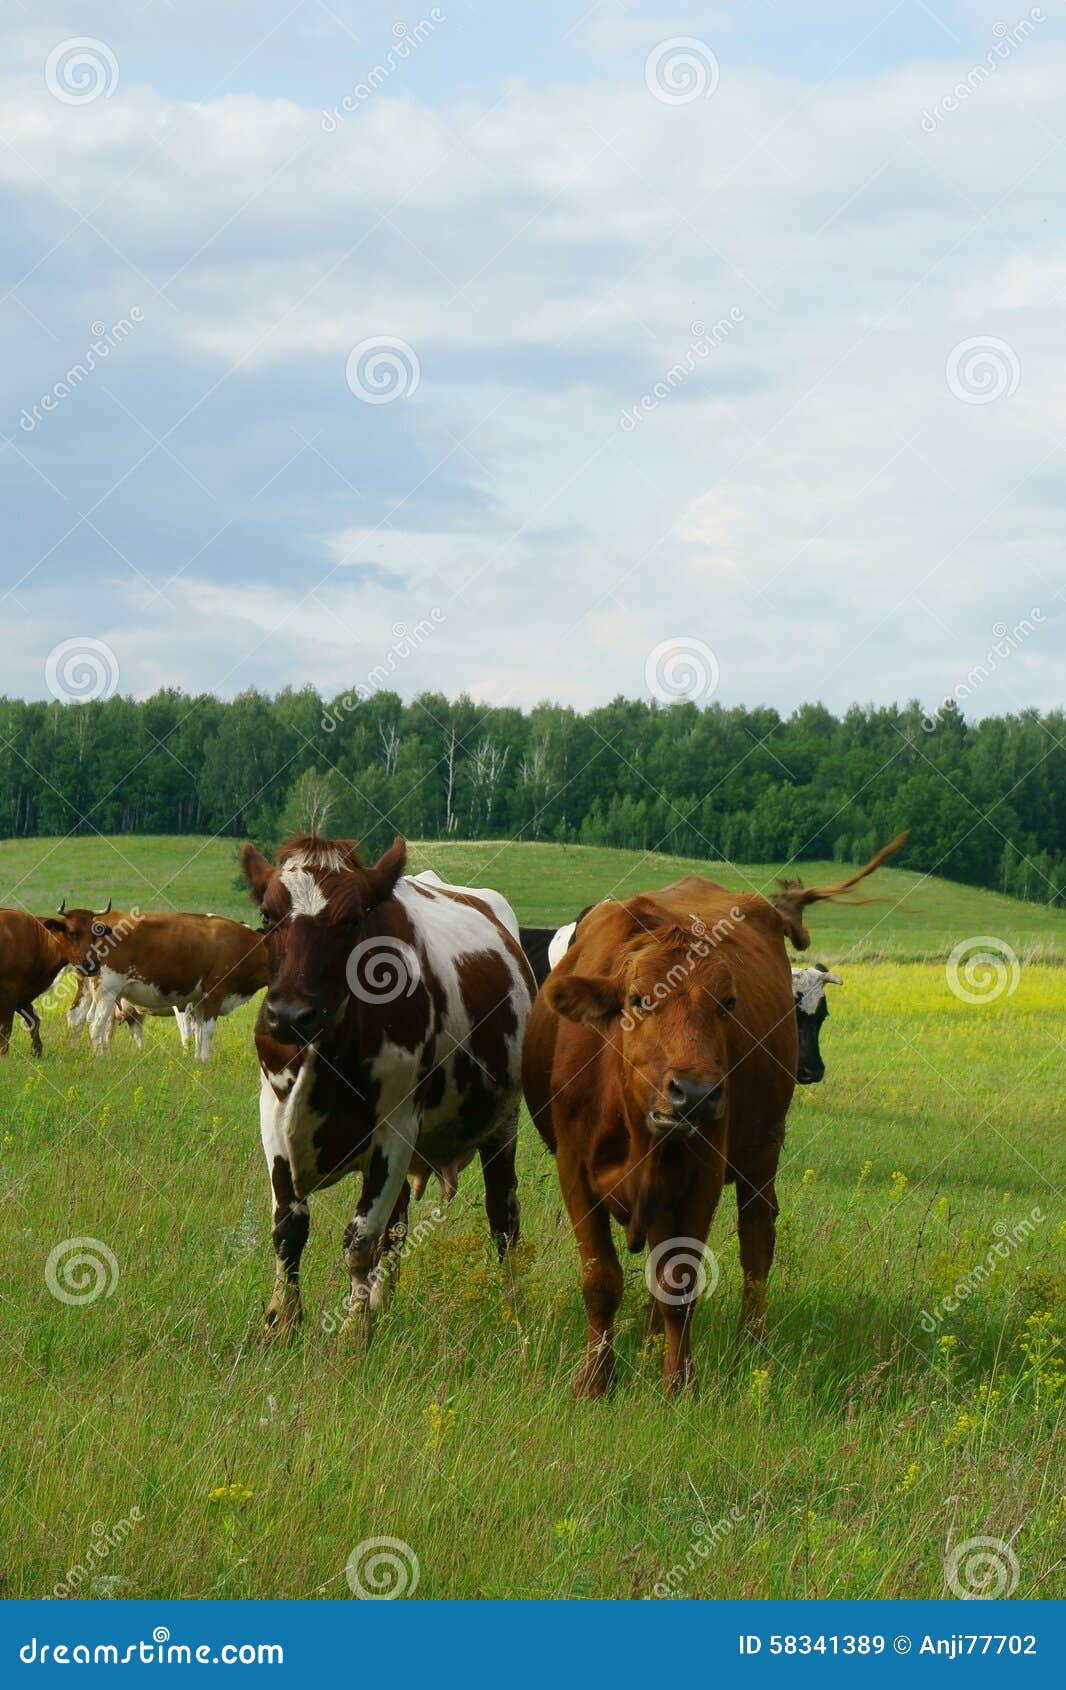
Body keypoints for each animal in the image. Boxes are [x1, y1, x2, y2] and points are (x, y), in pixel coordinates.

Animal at [0, 903, 114, 1057]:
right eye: (72, 933)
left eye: (96, 934)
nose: (93, 965)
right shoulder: (10, 991)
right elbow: (6, 1028)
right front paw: (4, 1056)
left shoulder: (22, 997)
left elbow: (34, 1021)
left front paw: (37, 1052)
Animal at [59, 910, 270, 1060]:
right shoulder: (213, 993)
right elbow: (203, 1031)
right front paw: (205, 1062)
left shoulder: (199, 1000)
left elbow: (199, 1031)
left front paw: (198, 1061)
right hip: (107, 990)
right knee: (96, 1023)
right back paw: (100, 1058)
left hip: (88, 988)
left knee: (77, 1017)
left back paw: (73, 1050)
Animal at [239, 833, 534, 1346]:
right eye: (267, 917)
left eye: (353, 921)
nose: (290, 1016)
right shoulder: (272, 1116)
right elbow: (289, 1228)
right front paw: (283, 1321)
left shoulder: (395, 1127)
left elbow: (360, 1239)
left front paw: (355, 1330)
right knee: (397, 1228)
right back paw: (382, 1300)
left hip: (502, 1123)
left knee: (503, 1215)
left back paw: (512, 1310)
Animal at [522, 834, 905, 1396]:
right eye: (638, 1000)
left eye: (726, 1004)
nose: (697, 1093)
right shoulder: (574, 1168)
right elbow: (601, 1281)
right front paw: (594, 1382)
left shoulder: (701, 1173)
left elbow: (679, 1283)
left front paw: (678, 1384)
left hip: (762, 1150)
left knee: (757, 1238)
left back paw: (751, 1340)